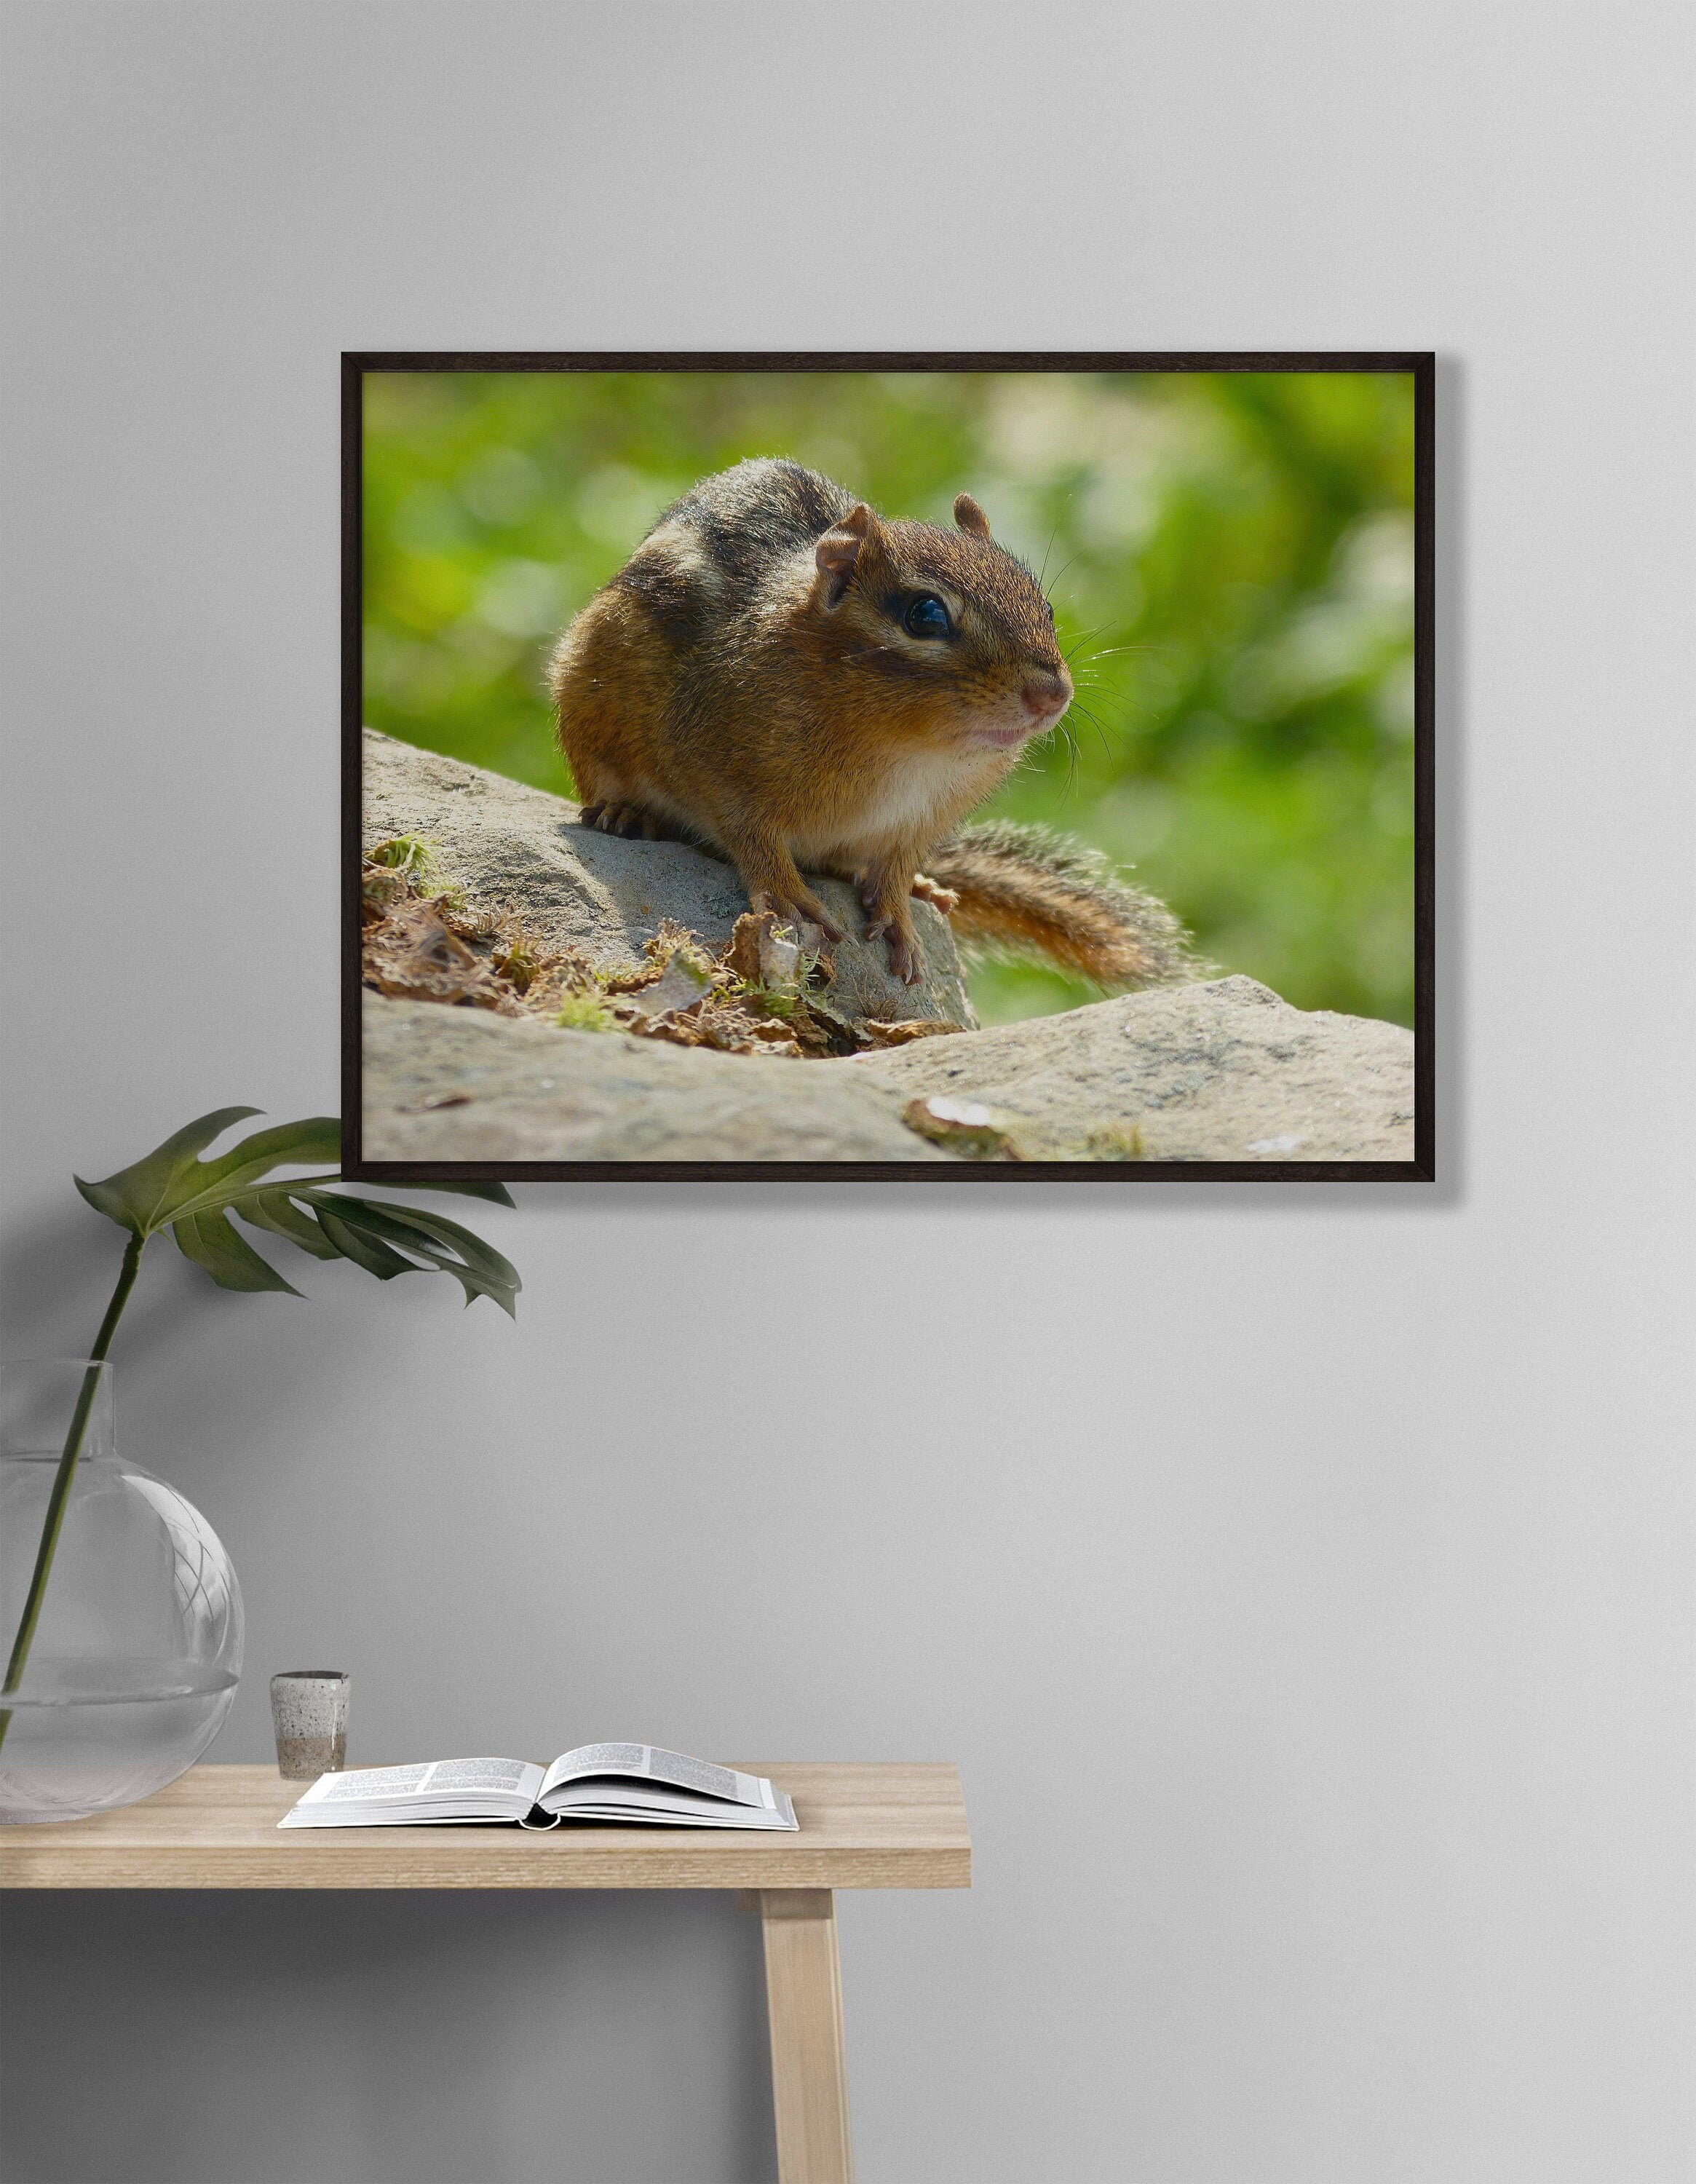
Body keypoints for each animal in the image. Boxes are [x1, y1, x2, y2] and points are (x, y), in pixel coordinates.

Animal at [550, 458, 1192, 989]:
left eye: (1046, 607)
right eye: (926, 615)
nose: (1053, 694)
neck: (910, 749)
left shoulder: (921, 820)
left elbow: (896, 865)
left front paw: (900, 912)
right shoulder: (712, 762)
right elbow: (751, 837)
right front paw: (788, 897)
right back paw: (624, 813)